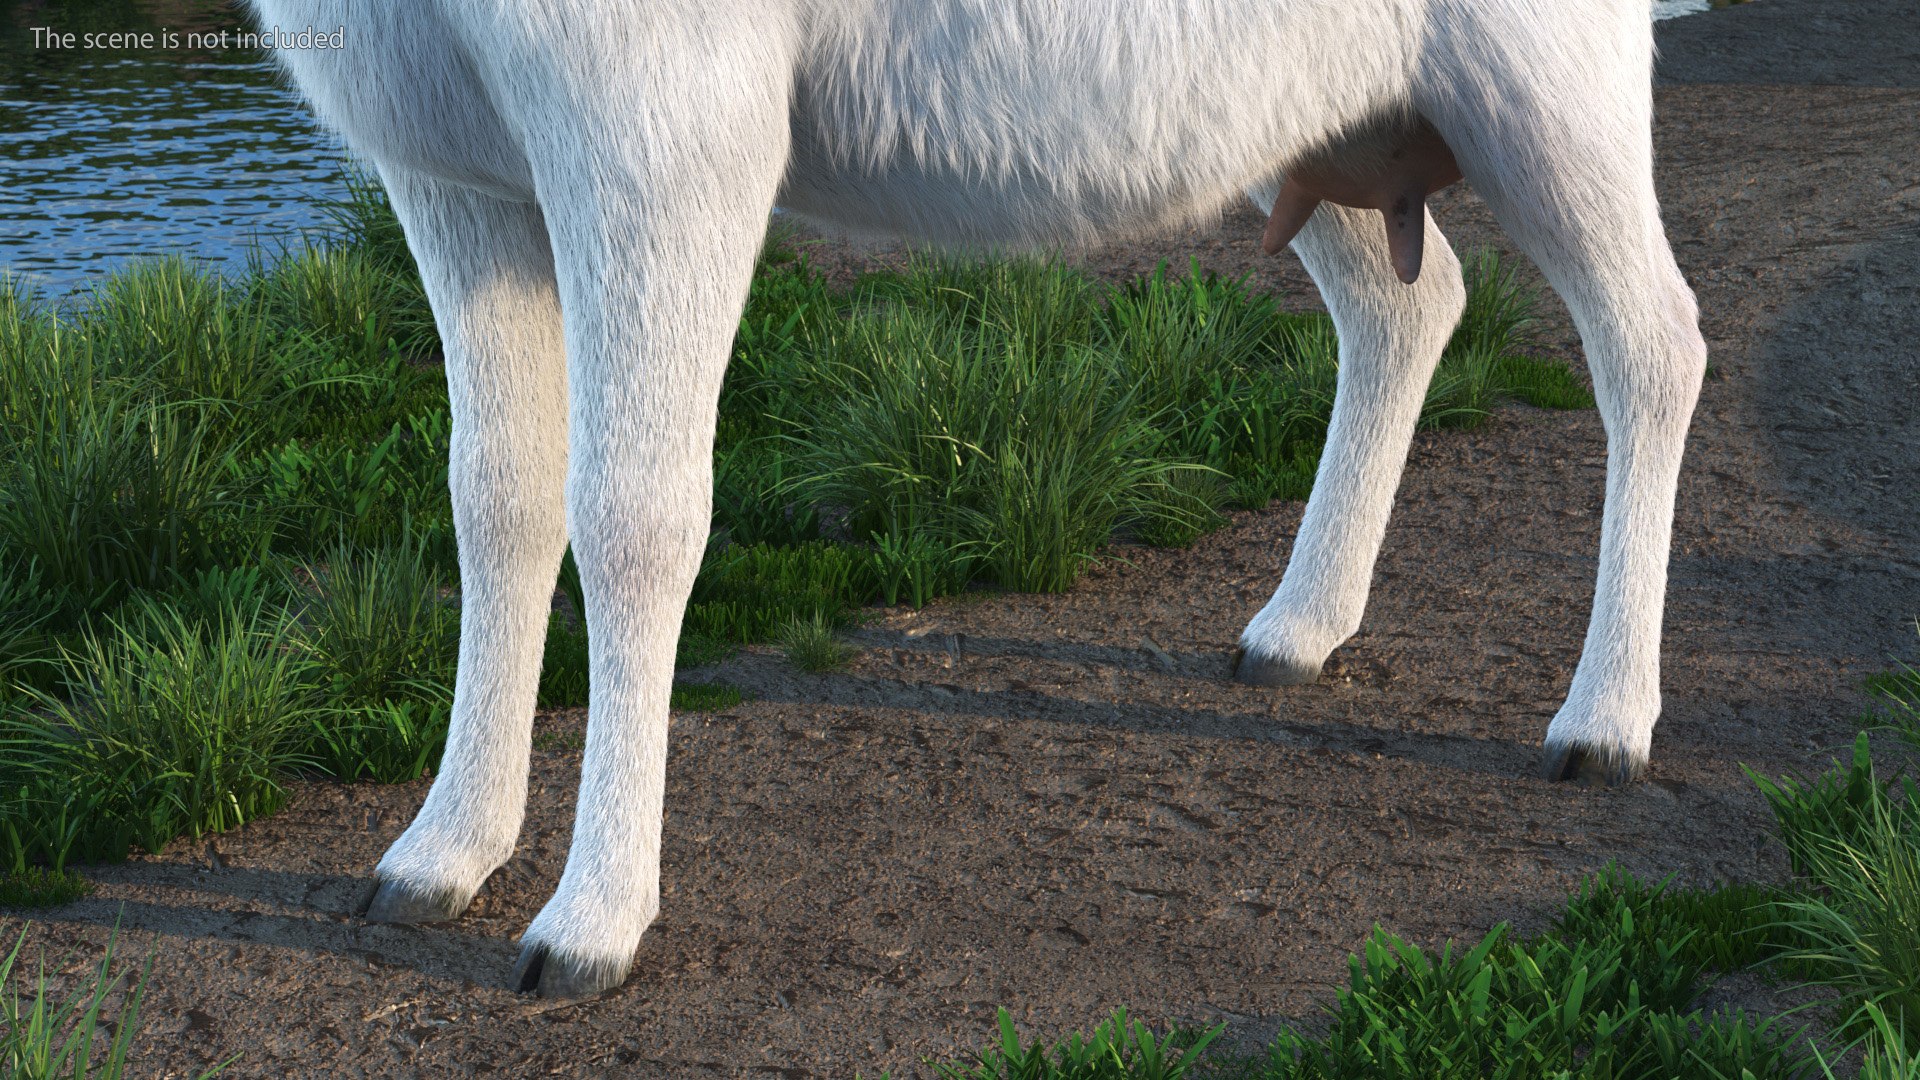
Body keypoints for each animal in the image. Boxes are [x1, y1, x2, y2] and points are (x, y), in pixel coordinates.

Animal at [247, 0, 1707, 997]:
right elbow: (493, 496)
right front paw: (439, 851)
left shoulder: (668, 123)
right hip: (1327, 115)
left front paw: (592, 921)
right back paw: (1299, 626)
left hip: (1550, 78)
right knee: (1413, 305)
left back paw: (1604, 716)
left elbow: (636, 518)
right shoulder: (449, 164)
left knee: (1657, 342)